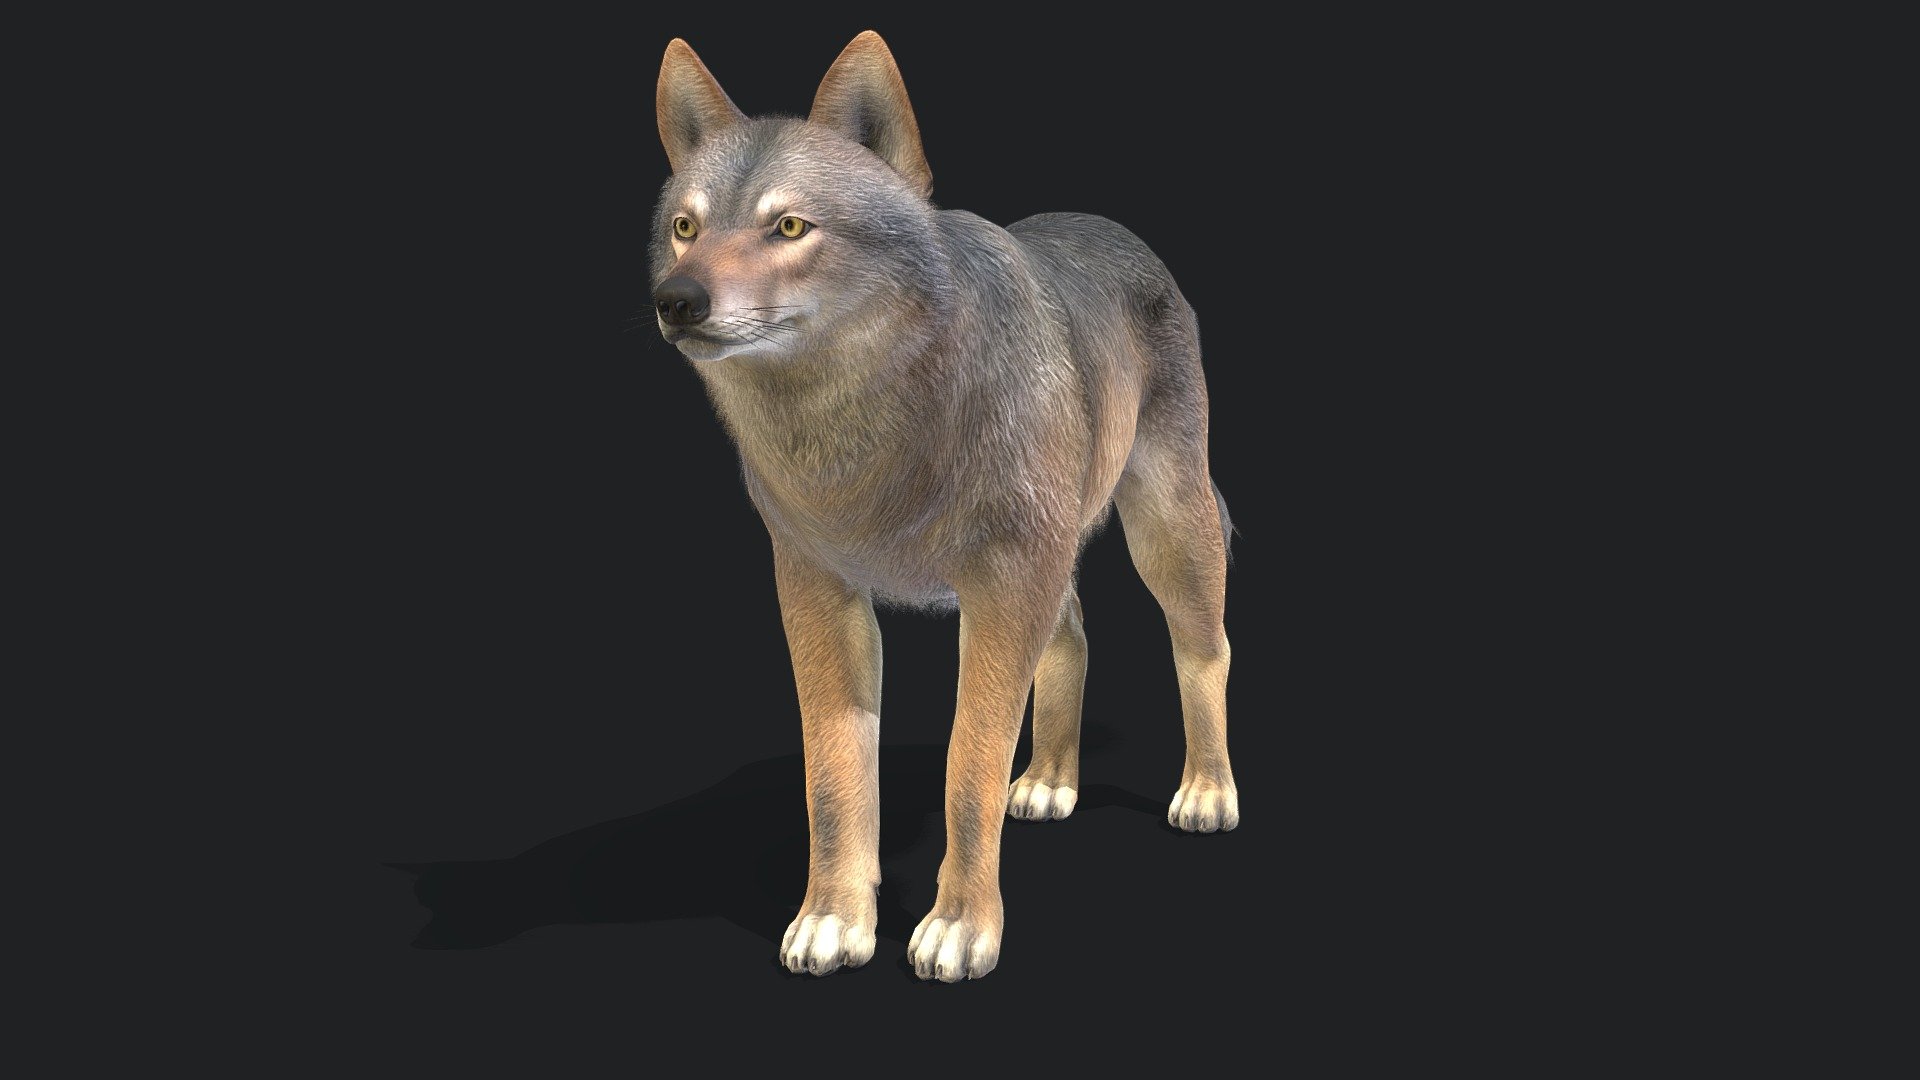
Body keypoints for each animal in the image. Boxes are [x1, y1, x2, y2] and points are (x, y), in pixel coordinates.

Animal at [649, 31, 1238, 982]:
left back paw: (1209, 791)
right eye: (686, 228)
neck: (862, 435)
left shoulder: (1000, 589)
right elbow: (833, 772)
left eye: (788, 227)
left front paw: (962, 926)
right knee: (1075, 640)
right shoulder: (817, 591)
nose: (677, 301)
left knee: (1205, 650)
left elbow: (970, 764)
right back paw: (1050, 782)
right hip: (1054, 560)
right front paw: (833, 920)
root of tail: (1111, 227)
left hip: (1165, 538)